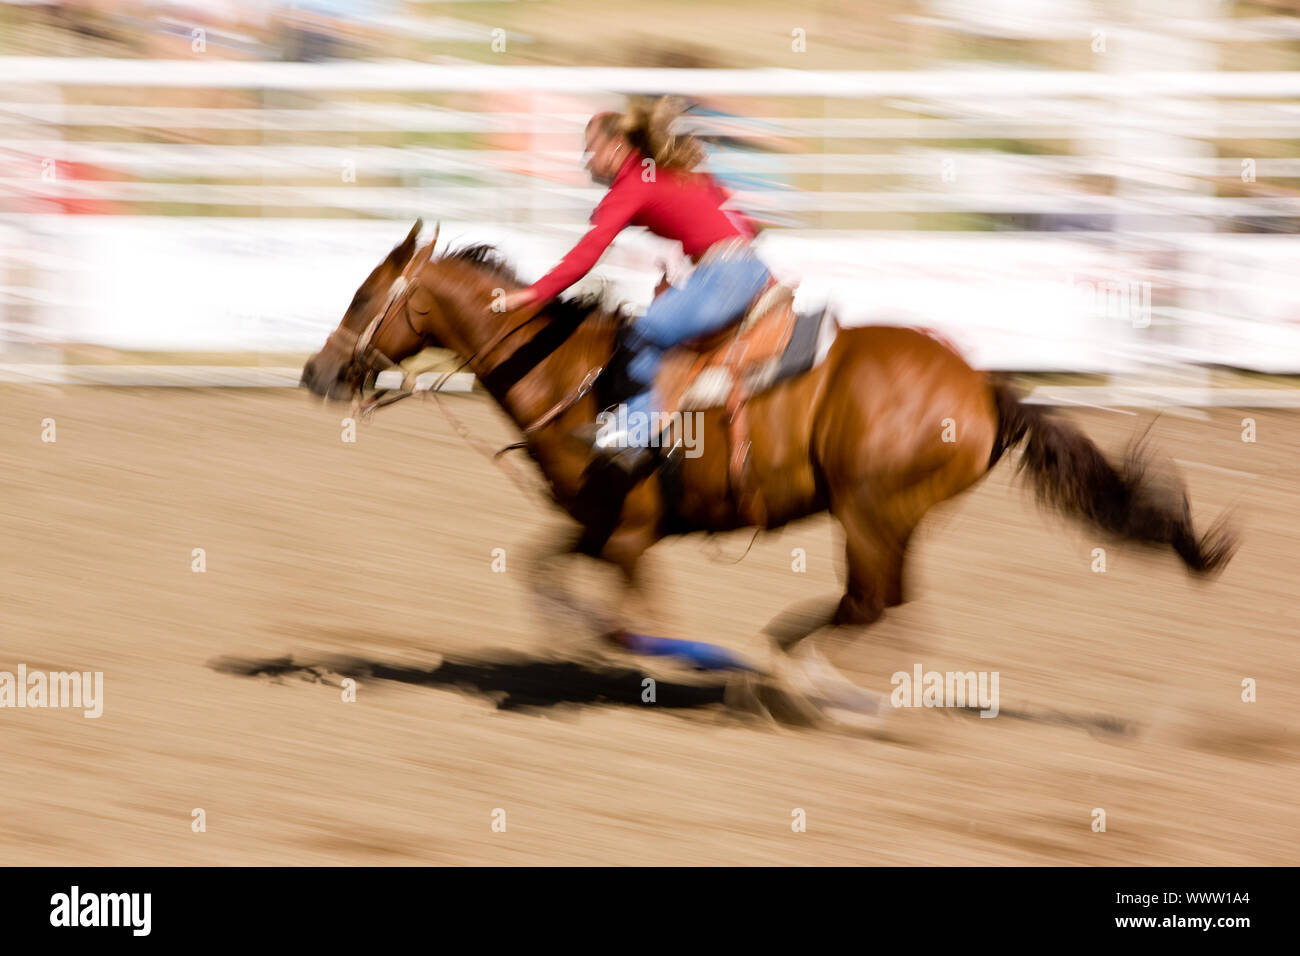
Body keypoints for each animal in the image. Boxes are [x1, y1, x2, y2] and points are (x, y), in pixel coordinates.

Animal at [300, 221, 1236, 724]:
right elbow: (543, 575)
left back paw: (791, 680)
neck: (579, 375)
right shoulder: (591, 527)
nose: (318, 373)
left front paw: (683, 662)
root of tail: (984, 388)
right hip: (894, 518)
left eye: (364, 297)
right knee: (888, 605)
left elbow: (629, 625)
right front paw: (558, 647)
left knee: (867, 603)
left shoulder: (629, 535)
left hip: (870, 512)